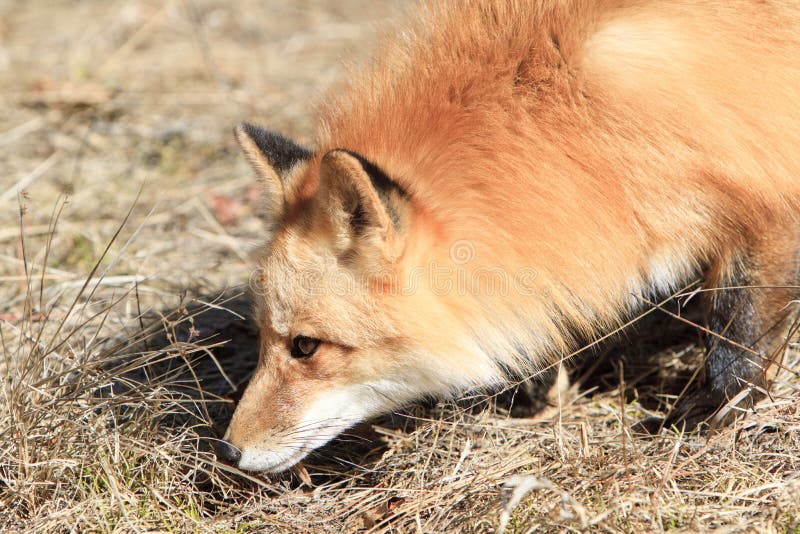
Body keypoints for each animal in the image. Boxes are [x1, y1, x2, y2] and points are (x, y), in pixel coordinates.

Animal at [215, 0, 800, 473]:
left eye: (305, 346)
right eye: (263, 337)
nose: (227, 452)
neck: (582, 129)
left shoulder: (769, 198)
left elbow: (738, 332)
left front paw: (715, 415)